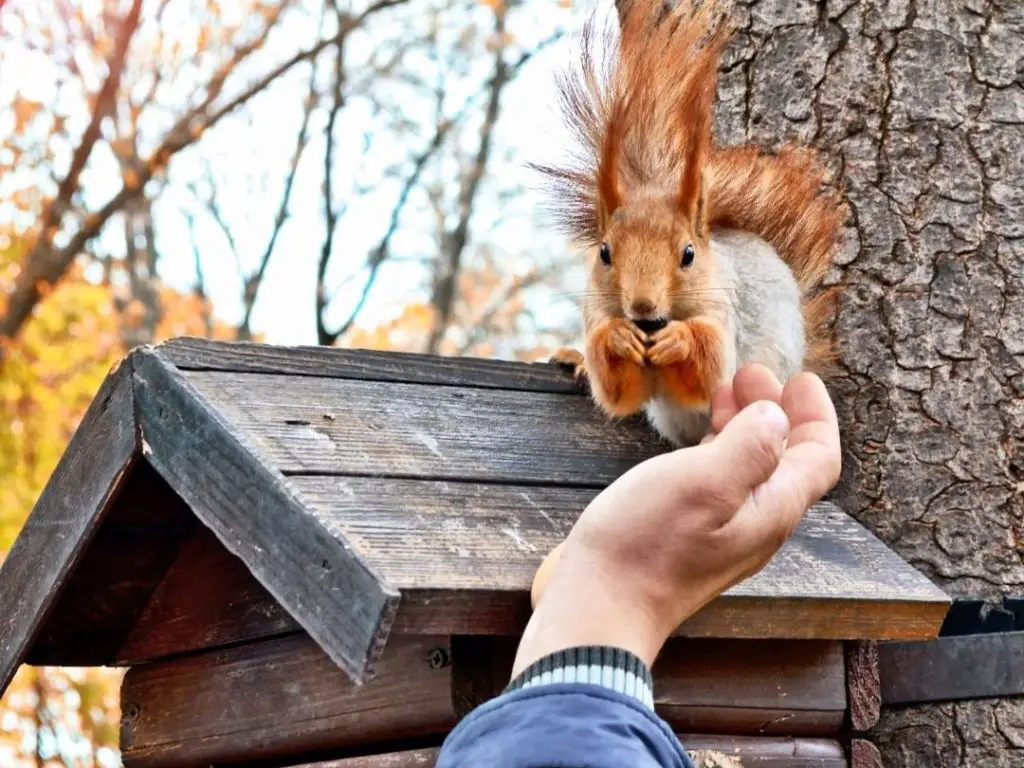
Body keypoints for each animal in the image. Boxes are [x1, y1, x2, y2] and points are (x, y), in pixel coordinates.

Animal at [534, 0, 846, 447]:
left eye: (688, 254)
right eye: (605, 252)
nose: (642, 305)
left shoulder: (723, 307)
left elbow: (712, 367)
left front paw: (680, 340)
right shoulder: (596, 308)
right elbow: (616, 392)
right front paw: (616, 339)